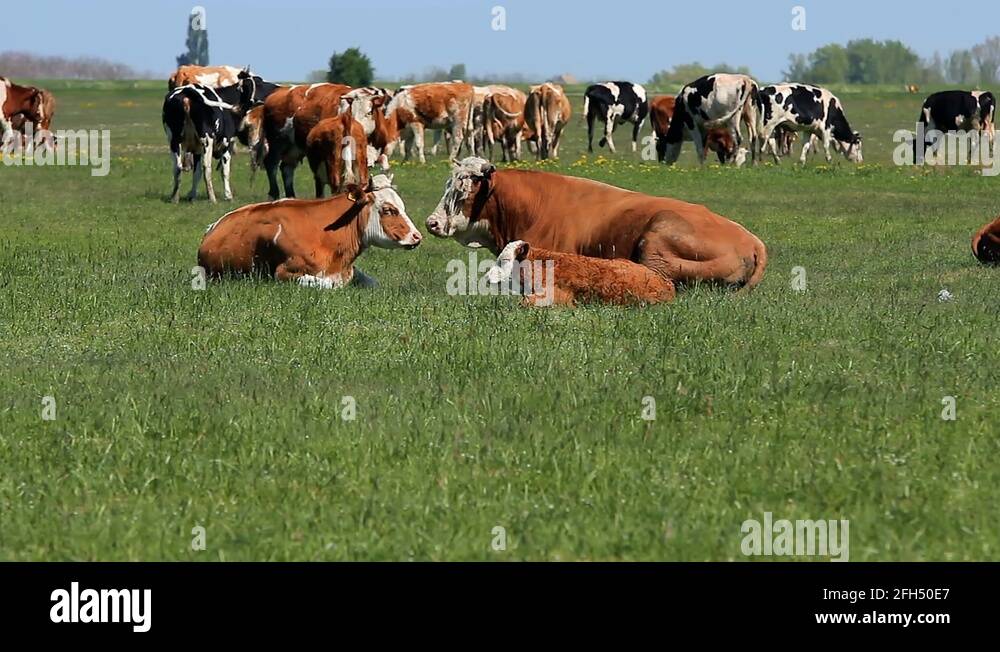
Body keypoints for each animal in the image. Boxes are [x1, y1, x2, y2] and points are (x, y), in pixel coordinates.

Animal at [162, 71, 259, 203]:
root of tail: (187, 90)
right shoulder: (227, 144)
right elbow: (225, 171)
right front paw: (228, 196)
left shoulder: (196, 149)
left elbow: (196, 173)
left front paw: (192, 196)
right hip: (207, 139)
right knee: (206, 167)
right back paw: (212, 198)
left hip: (174, 139)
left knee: (177, 167)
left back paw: (174, 198)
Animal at [197, 174, 421, 288]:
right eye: (389, 210)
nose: (417, 236)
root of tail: (213, 227)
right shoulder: (283, 272)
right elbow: (330, 285)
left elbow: (373, 282)